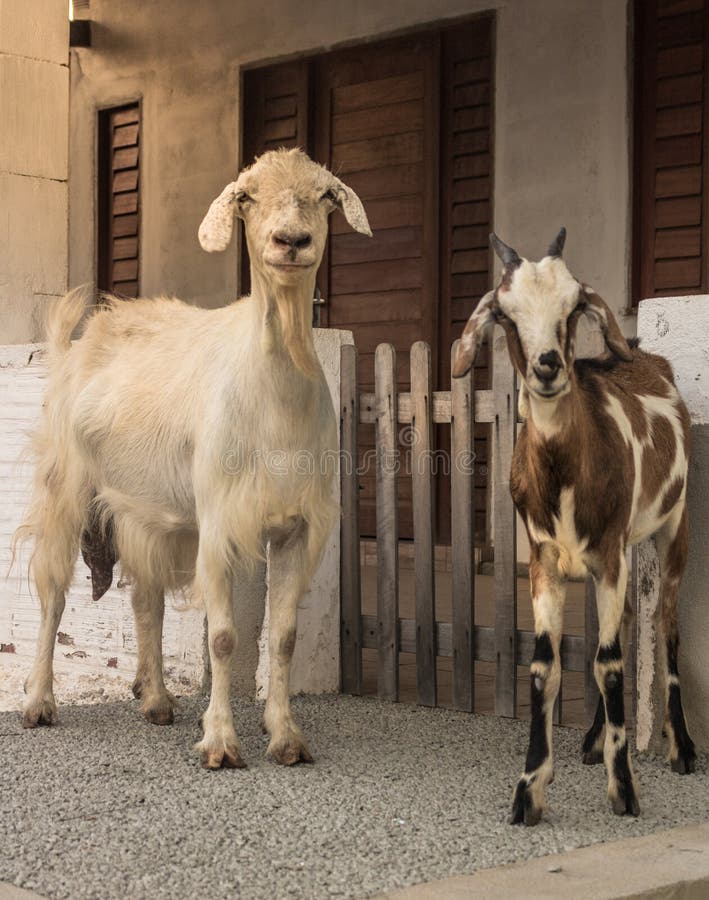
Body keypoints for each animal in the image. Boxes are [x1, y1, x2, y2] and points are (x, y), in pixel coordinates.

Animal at [16, 148, 371, 769]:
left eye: (325, 195)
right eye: (247, 196)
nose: (291, 240)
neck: (274, 396)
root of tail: (79, 340)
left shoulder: (297, 526)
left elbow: (283, 638)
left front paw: (286, 737)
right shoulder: (221, 521)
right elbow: (224, 637)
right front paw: (222, 743)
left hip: (146, 510)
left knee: (146, 598)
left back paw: (156, 700)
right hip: (66, 487)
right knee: (54, 592)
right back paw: (39, 702)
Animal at [453, 228, 695, 825]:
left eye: (573, 306)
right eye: (506, 313)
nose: (546, 367)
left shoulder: (608, 553)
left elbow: (607, 664)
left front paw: (624, 786)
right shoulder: (544, 558)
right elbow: (547, 664)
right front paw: (529, 789)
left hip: (671, 526)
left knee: (666, 623)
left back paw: (681, 747)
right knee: (627, 620)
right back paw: (592, 738)